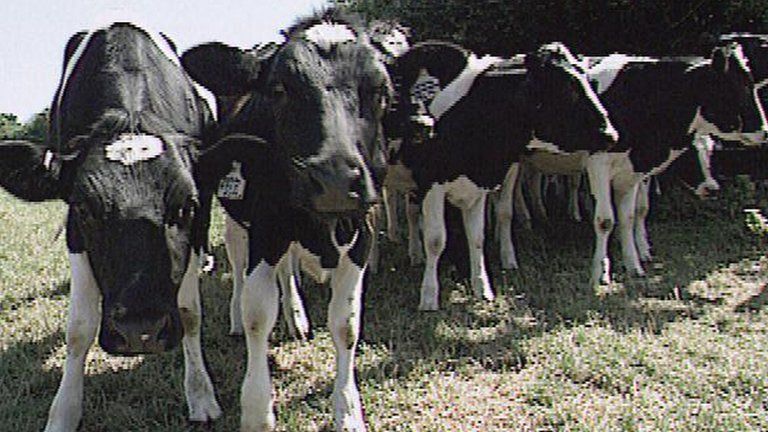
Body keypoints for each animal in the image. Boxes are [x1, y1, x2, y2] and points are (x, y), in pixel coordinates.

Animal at [0, 22, 226, 431]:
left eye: (185, 206)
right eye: (85, 208)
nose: (141, 332)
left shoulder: (200, 218)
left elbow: (189, 312)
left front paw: (201, 395)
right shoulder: (74, 230)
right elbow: (79, 327)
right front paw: (64, 411)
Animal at [182, 10, 390, 432]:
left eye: (379, 89)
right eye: (280, 90)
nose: (334, 179)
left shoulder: (363, 232)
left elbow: (346, 324)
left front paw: (347, 411)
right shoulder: (267, 228)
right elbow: (257, 314)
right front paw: (256, 412)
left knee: (288, 269)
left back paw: (296, 316)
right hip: (234, 218)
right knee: (238, 262)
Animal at [385, 41, 619, 311]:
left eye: (588, 81)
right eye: (567, 87)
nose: (610, 134)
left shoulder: (478, 188)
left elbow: (477, 237)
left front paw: (481, 287)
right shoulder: (432, 184)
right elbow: (435, 239)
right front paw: (429, 297)